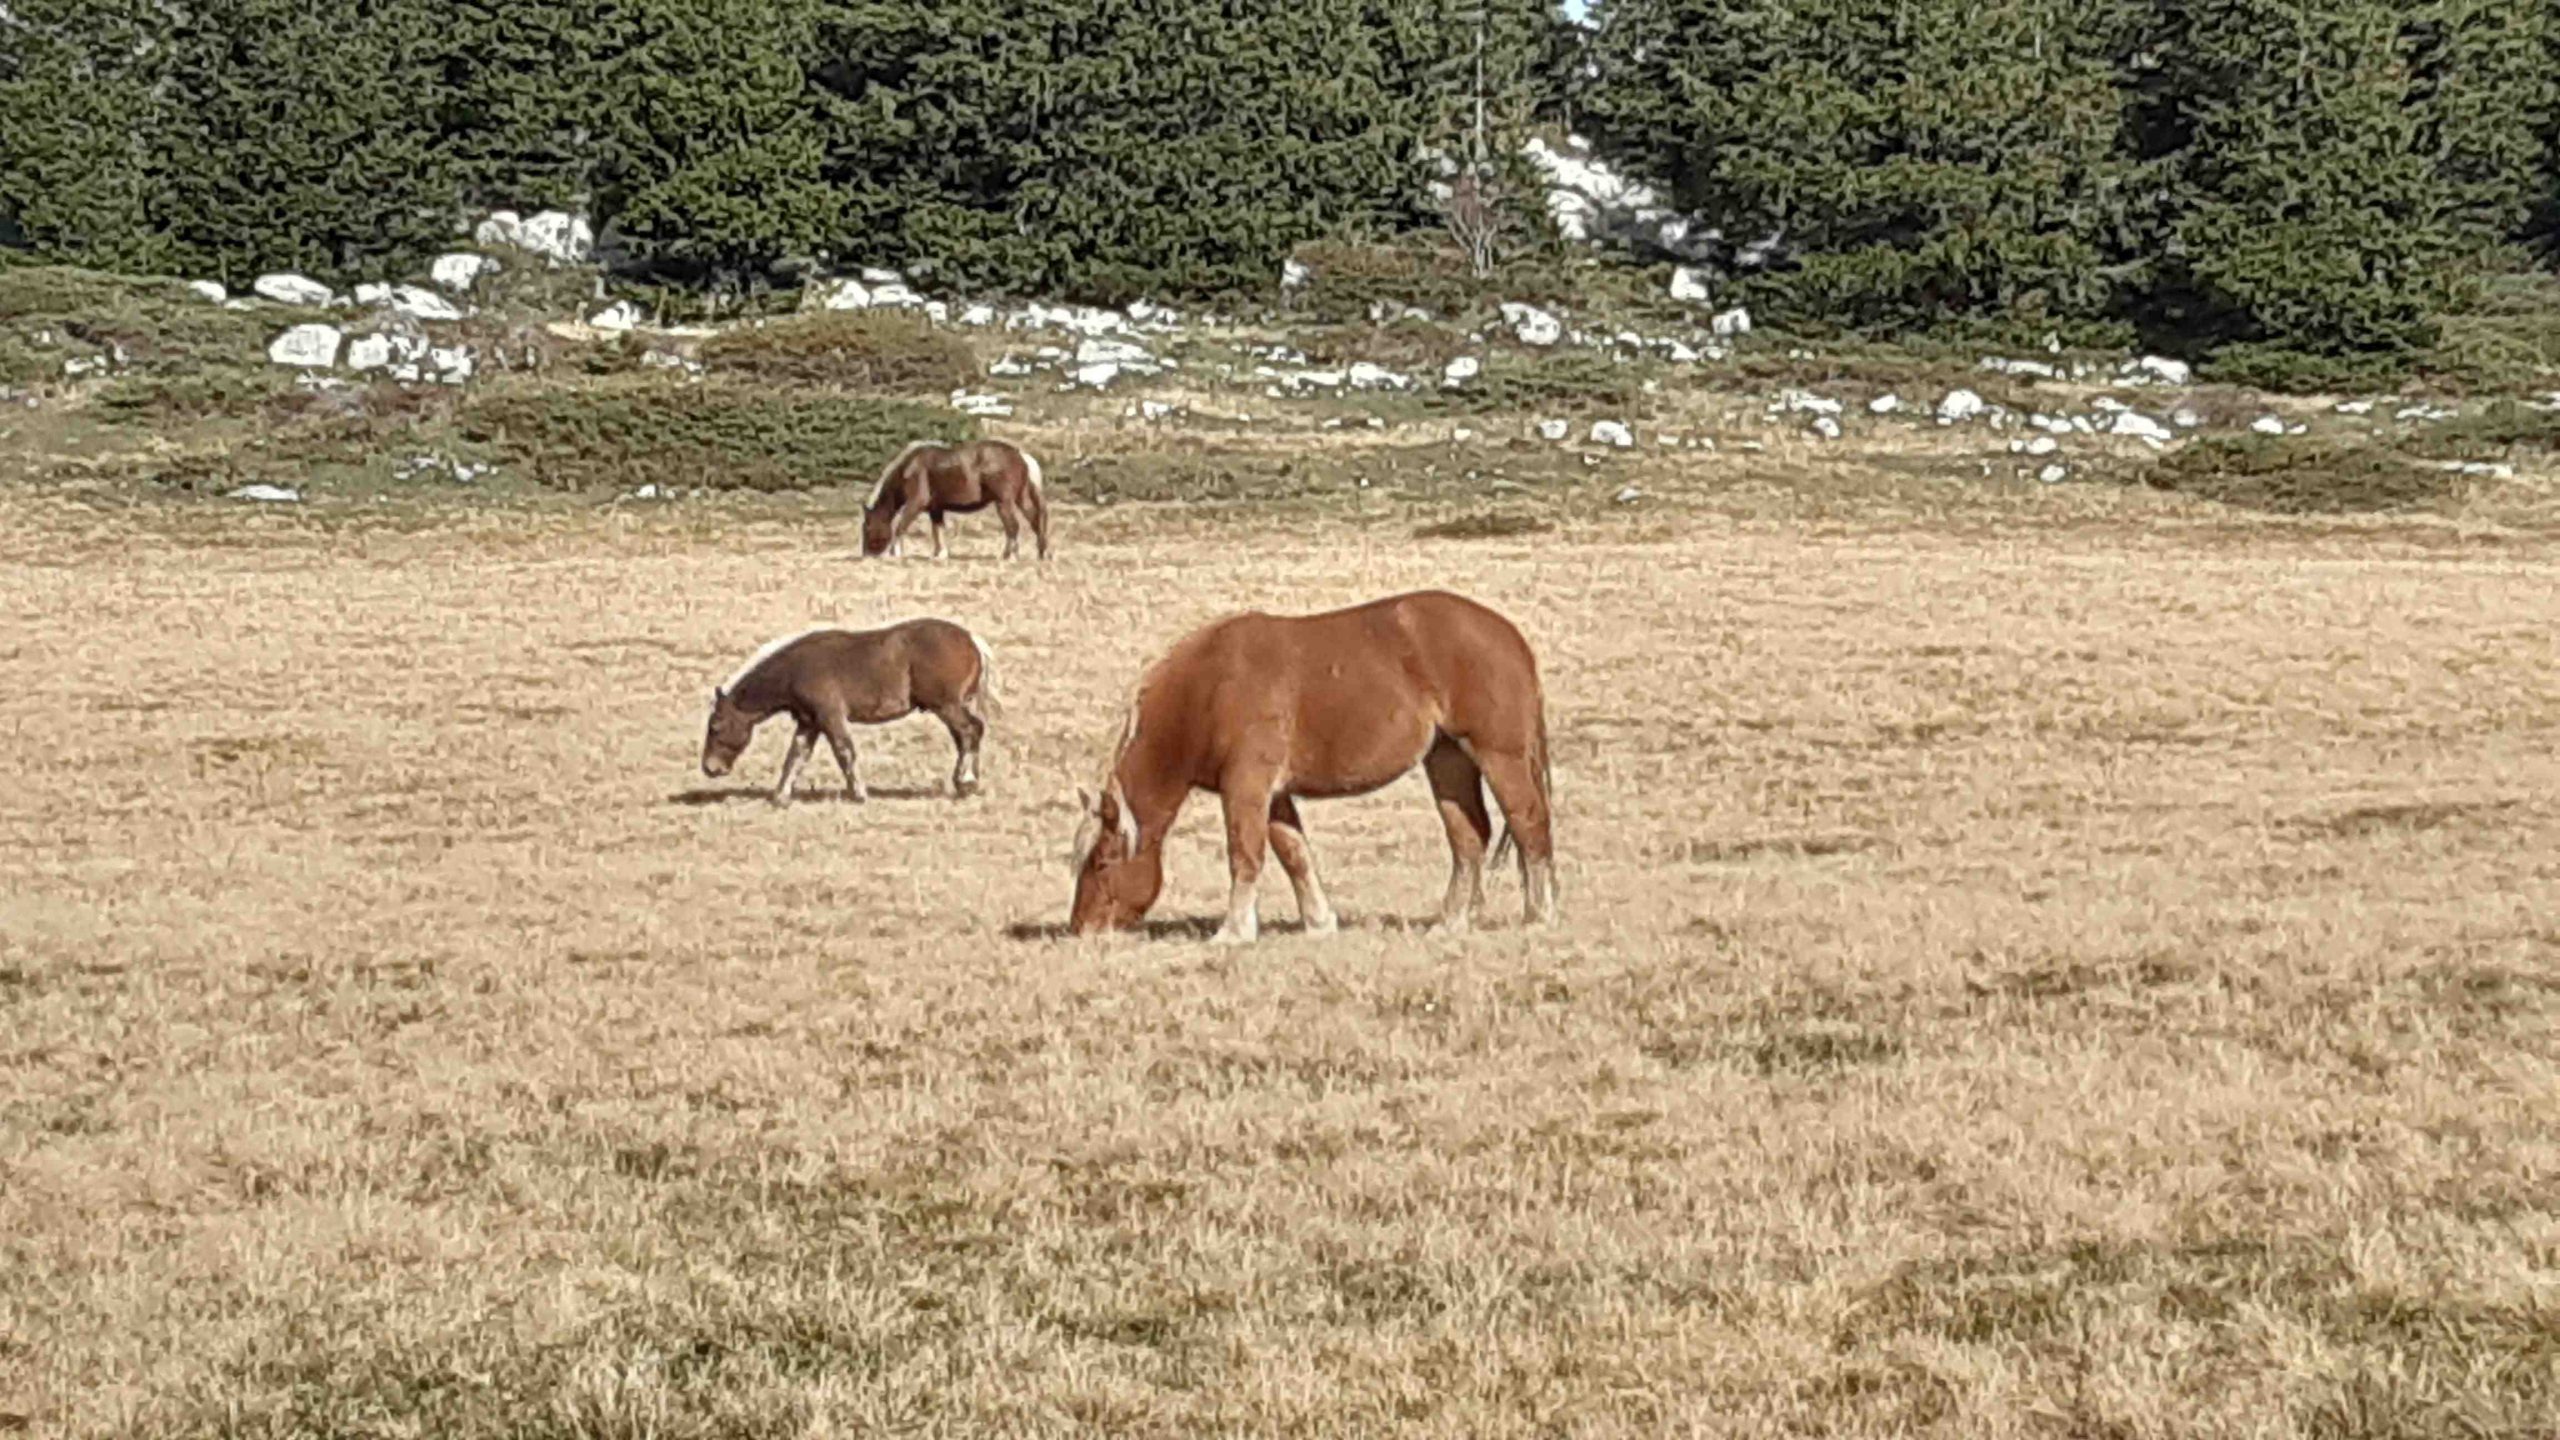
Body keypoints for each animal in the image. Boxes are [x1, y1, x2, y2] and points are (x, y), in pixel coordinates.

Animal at [701, 620, 995, 805]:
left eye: (715, 728)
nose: (709, 768)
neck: (797, 669)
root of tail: (971, 639)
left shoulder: (830, 717)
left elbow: (844, 752)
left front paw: (859, 794)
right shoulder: (809, 722)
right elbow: (795, 757)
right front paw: (780, 796)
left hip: (947, 706)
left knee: (971, 731)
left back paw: (965, 781)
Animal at [861, 439, 1051, 561]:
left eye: (867, 527)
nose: (866, 554)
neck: (909, 468)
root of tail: (1021, 455)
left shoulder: (916, 503)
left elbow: (901, 526)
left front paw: (895, 552)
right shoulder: (935, 509)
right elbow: (938, 530)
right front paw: (939, 554)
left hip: (1004, 502)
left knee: (1013, 526)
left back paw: (1009, 556)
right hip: (1021, 498)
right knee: (1034, 520)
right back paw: (1039, 554)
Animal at [1068, 590, 1556, 943]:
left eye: (1102, 863)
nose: (1080, 928)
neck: (1207, 692)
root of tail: (1509, 635)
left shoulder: (1247, 786)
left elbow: (1245, 853)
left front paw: (1234, 932)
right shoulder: (1275, 794)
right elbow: (1294, 854)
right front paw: (1319, 922)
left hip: (1499, 755)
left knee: (1529, 822)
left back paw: (1539, 915)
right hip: (1447, 758)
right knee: (1469, 837)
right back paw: (1450, 922)